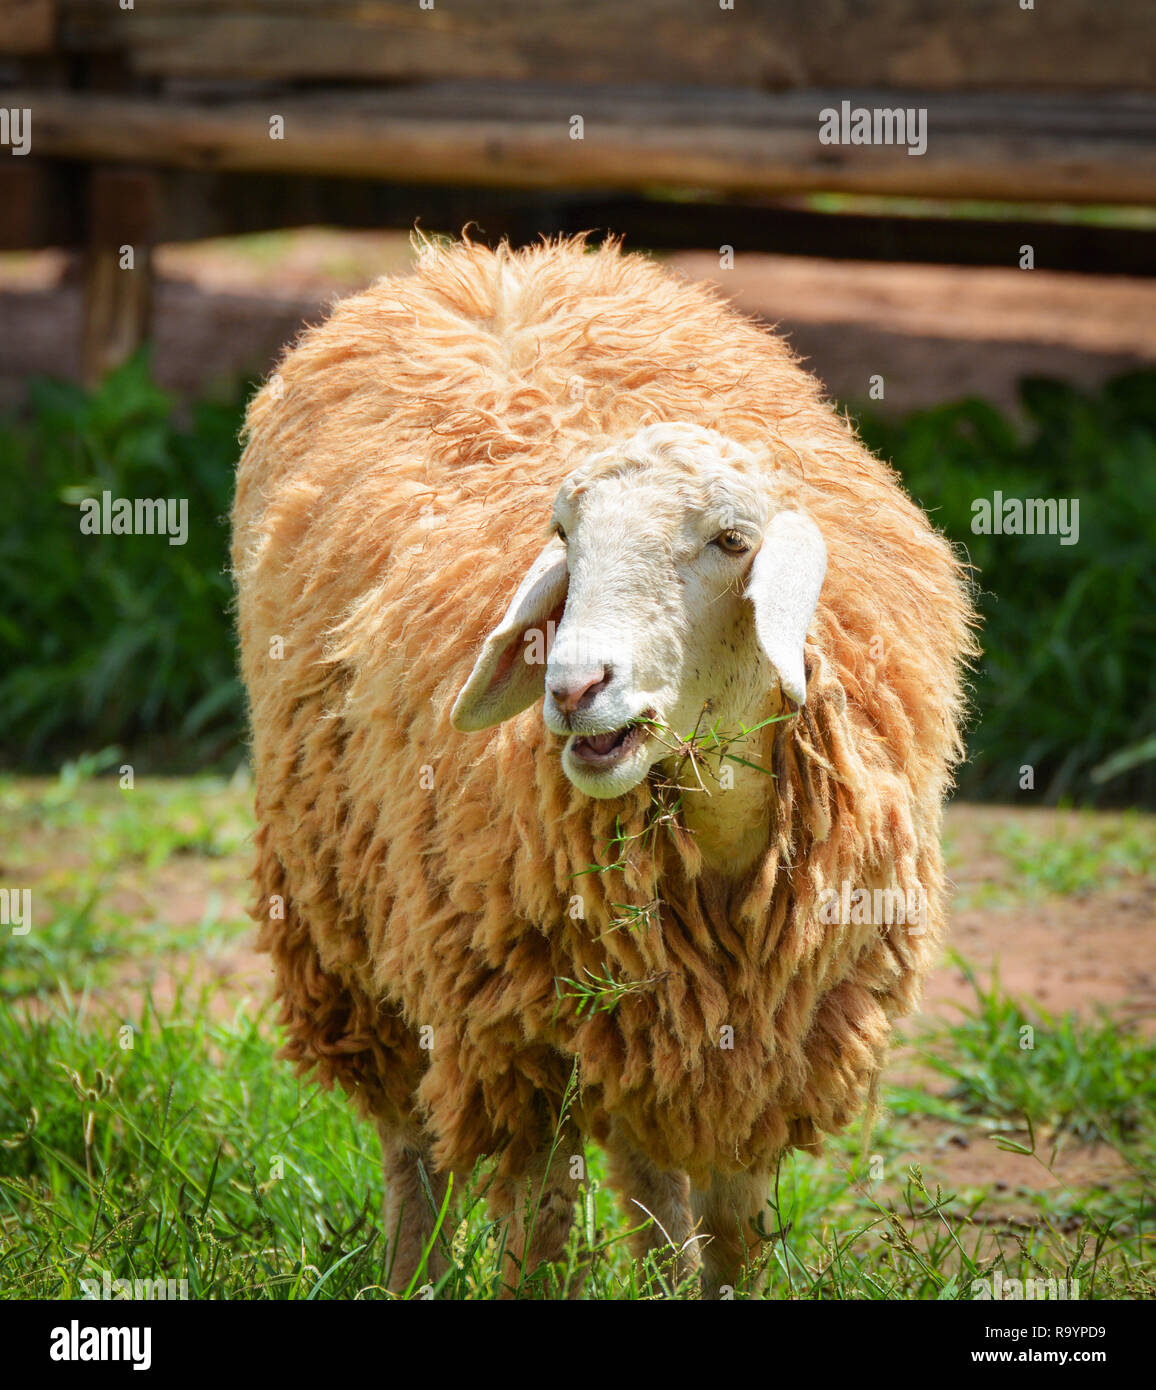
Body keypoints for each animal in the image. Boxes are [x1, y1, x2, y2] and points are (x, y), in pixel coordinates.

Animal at [231, 234, 976, 1297]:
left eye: (732, 541)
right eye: (563, 538)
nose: (575, 686)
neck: (724, 846)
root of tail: (485, 264)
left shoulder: (772, 1046)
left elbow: (734, 1236)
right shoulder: (519, 1045)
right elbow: (540, 1236)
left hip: (639, 1024)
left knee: (647, 1178)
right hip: (345, 917)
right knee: (412, 1144)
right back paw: (411, 1272)